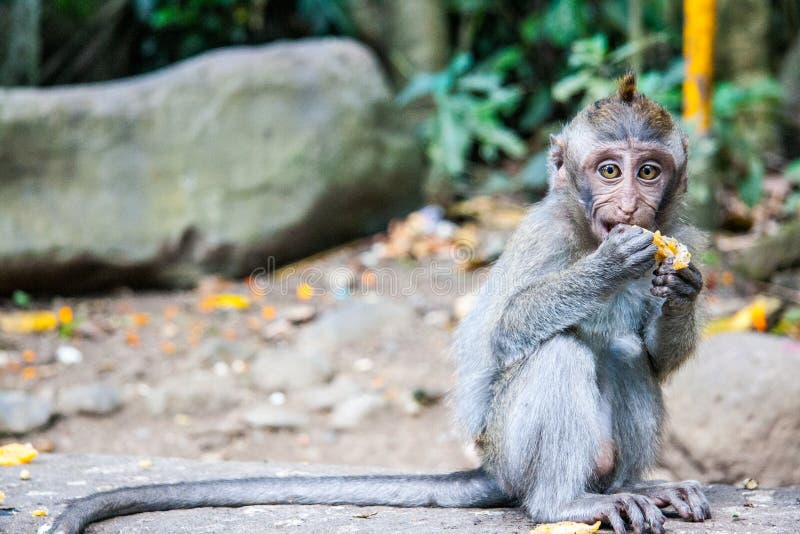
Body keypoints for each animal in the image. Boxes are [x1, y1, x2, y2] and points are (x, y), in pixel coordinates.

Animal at [50, 73, 709, 534]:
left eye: (649, 171)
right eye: (609, 170)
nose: (630, 207)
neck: (584, 229)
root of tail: (491, 468)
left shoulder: (686, 233)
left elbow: (654, 356)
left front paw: (682, 291)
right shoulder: (543, 235)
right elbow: (508, 328)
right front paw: (607, 266)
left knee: (624, 355)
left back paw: (631, 489)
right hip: (510, 451)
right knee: (562, 350)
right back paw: (564, 502)